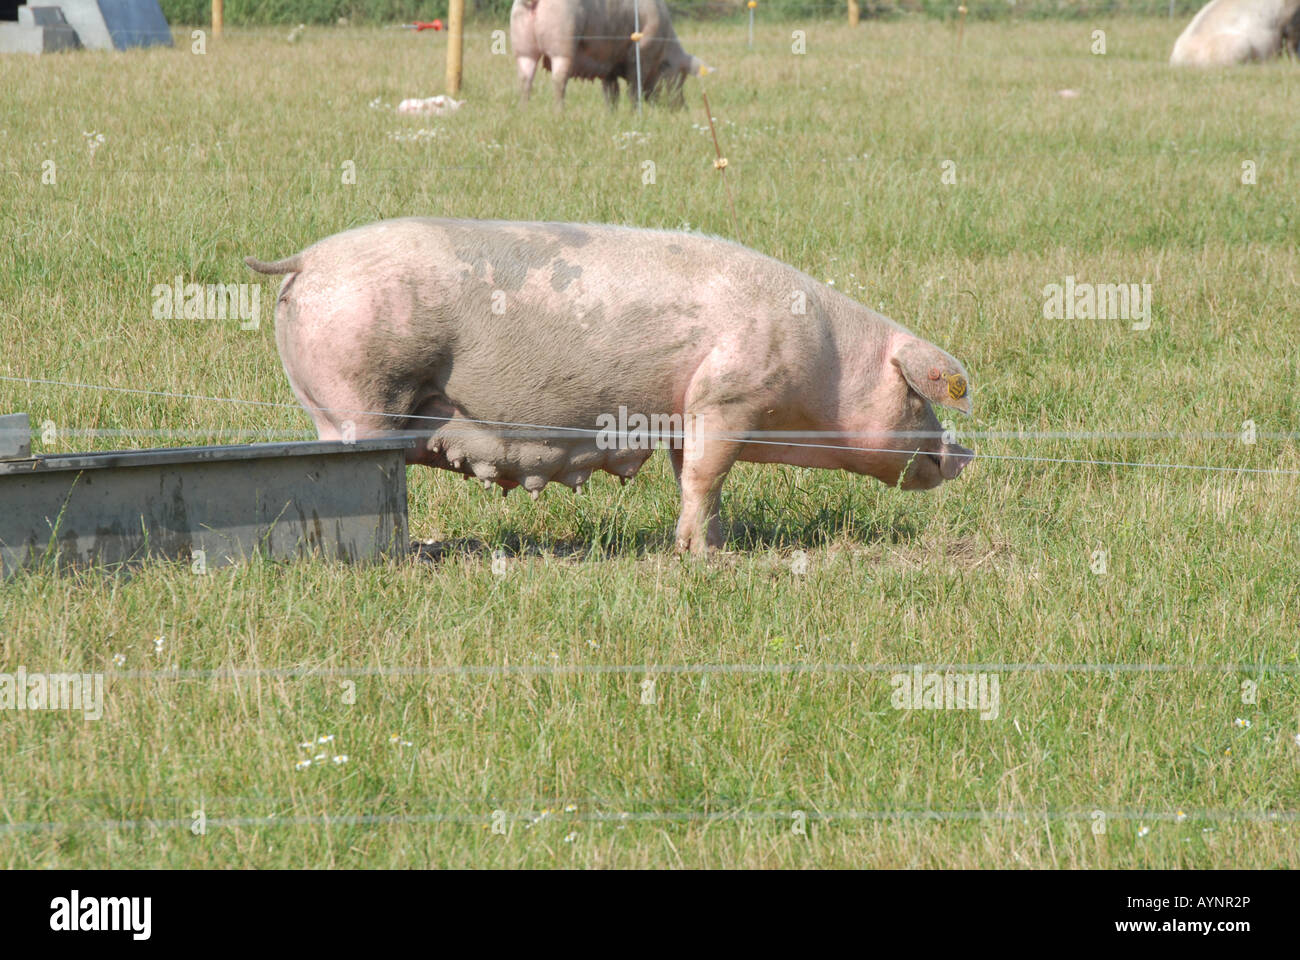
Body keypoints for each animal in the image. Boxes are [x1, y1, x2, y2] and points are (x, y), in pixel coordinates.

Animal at [246, 219, 974, 555]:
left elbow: (691, 477)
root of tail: (306, 258)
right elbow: (708, 474)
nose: (964, 454)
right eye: (917, 397)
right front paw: (702, 556)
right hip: (363, 394)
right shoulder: (728, 397)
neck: (828, 363)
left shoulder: (687, 410)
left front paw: (707, 544)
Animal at [510, 0, 710, 107]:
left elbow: (611, 93)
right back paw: (559, 114)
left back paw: (524, 111)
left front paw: (611, 115)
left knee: (524, 80)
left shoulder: (608, 65)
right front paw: (634, 115)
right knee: (558, 81)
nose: (684, 108)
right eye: (681, 77)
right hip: (562, 46)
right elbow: (633, 90)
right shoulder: (640, 55)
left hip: (523, 48)